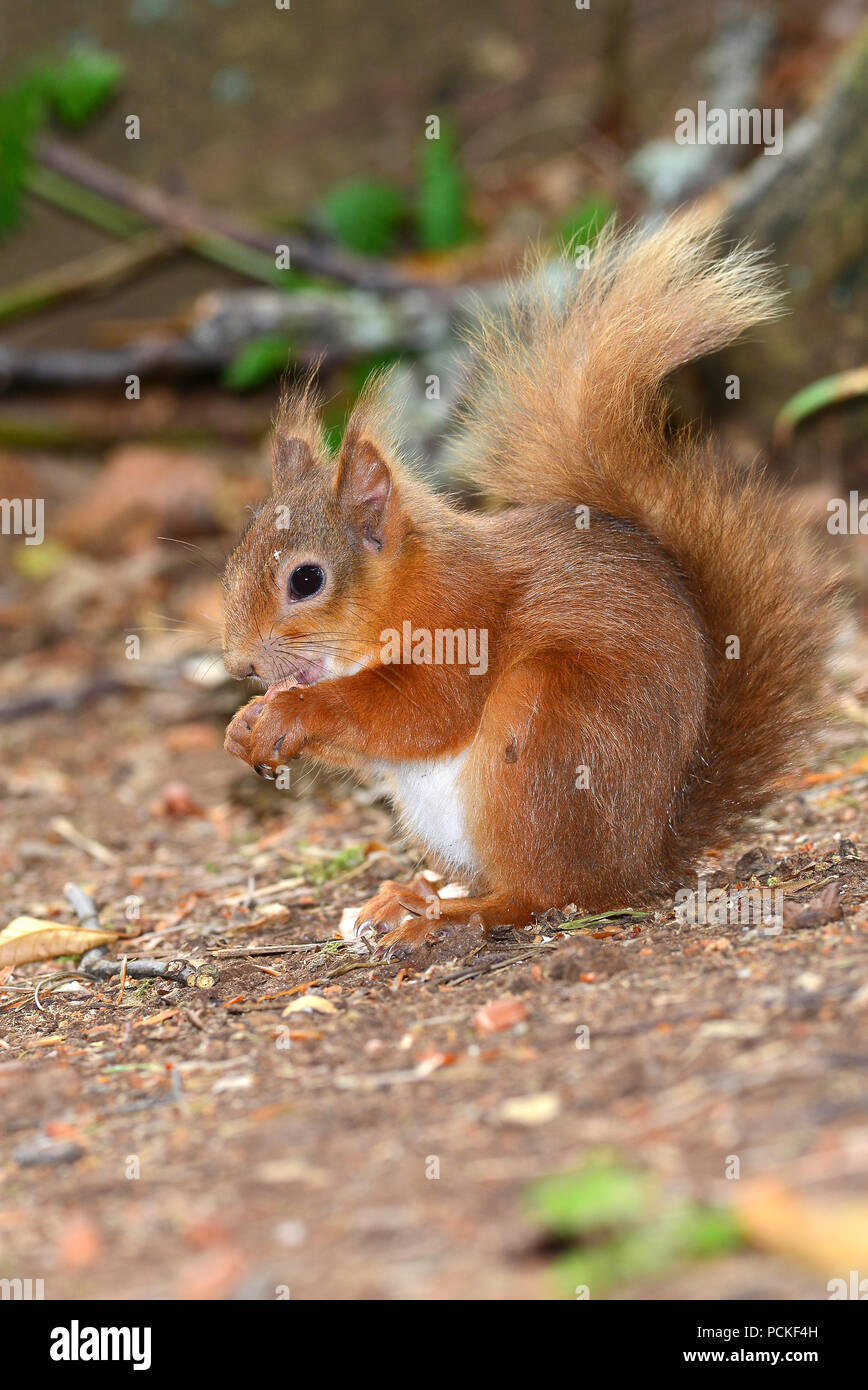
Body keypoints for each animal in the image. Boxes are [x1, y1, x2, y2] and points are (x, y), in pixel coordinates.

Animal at [222, 214, 835, 956]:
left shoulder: (466, 622)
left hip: (546, 732)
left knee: (546, 893)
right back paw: (410, 898)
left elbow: (419, 712)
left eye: (306, 579)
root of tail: (647, 858)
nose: (239, 664)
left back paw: (454, 917)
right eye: (233, 561)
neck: (407, 588)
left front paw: (291, 713)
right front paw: (244, 726)